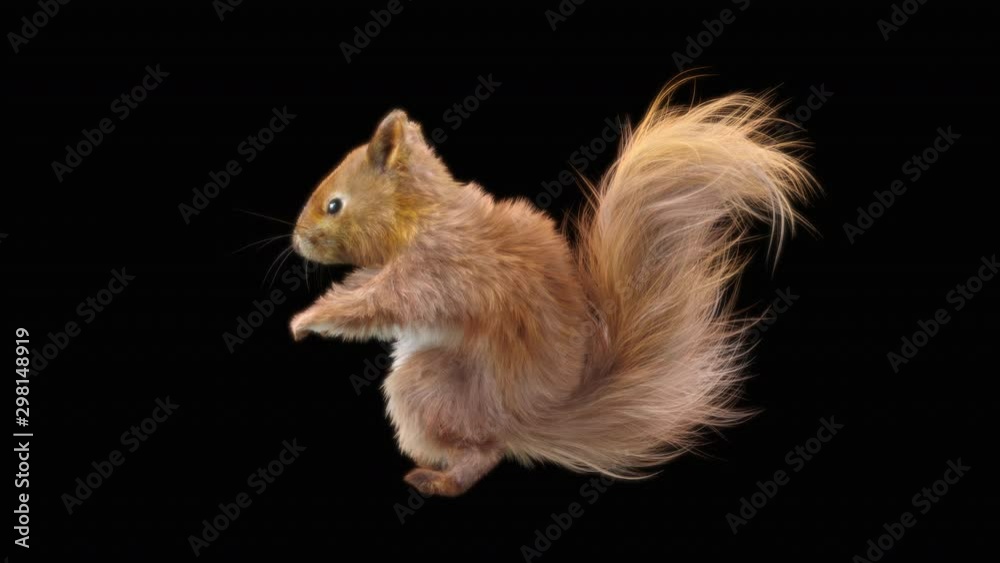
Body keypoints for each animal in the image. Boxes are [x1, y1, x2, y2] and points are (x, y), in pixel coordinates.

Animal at [288, 79, 816, 497]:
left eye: (334, 205)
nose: (297, 240)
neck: (423, 216)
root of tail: (520, 421)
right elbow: (363, 286)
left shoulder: (435, 268)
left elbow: (376, 304)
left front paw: (305, 321)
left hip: (431, 387)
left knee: (483, 453)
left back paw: (440, 479)